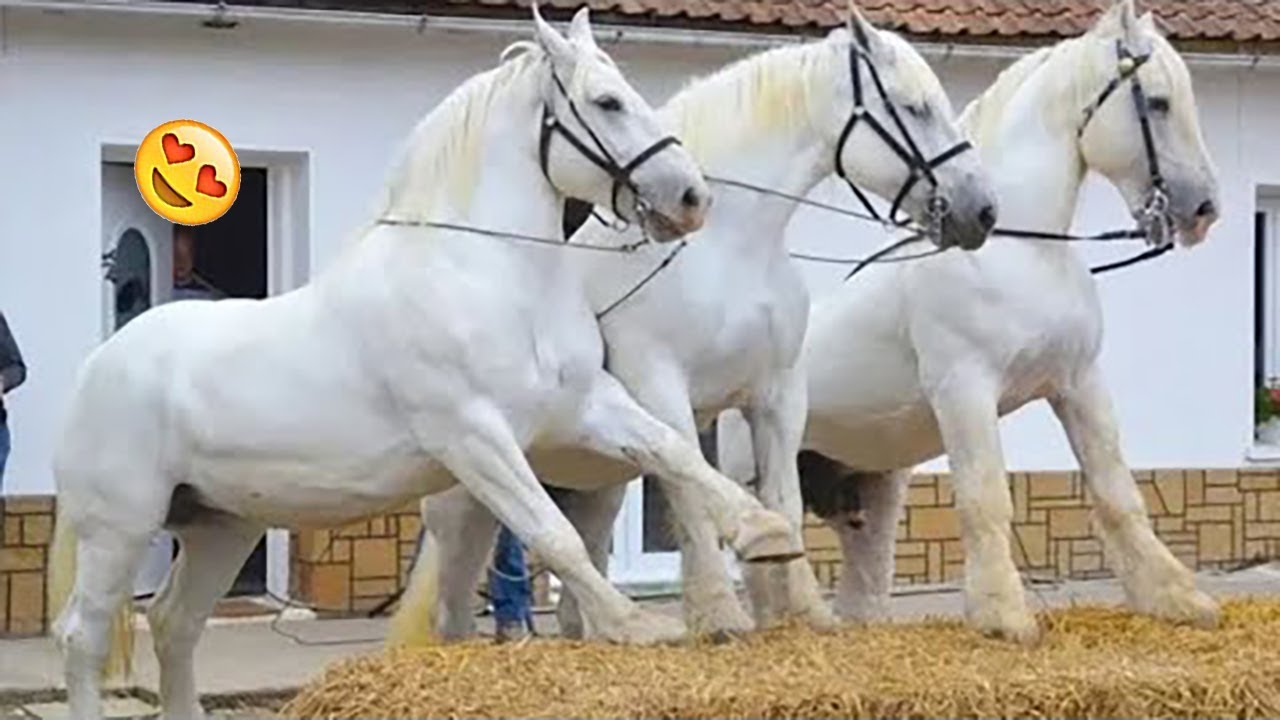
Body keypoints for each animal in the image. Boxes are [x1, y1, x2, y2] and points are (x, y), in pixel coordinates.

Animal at [46, 8, 803, 719]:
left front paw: (767, 533)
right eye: (607, 101)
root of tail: (98, 366)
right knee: (83, 635)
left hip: (219, 525)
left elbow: (672, 450)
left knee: (175, 625)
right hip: (121, 528)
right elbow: (553, 532)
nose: (692, 198)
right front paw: (635, 626)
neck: (487, 272)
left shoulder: (583, 406)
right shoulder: (473, 436)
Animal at [390, 5, 999, 645]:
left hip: (594, 488)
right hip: (469, 492)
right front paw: (719, 614)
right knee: (455, 604)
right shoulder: (662, 387)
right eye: (914, 107)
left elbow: (782, 499)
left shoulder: (778, 394)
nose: (981, 211)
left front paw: (805, 609)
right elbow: (690, 494)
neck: (730, 249)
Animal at [720, 0, 1222, 644]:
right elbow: (985, 498)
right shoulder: (966, 388)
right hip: (755, 464)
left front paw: (1176, 598)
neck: (1024, 248)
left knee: (865, 569)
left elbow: (1116, 492)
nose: (1203, 209)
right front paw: (1004, 615)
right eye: (1157, 101)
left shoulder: (1078, 383)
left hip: (873, 487)